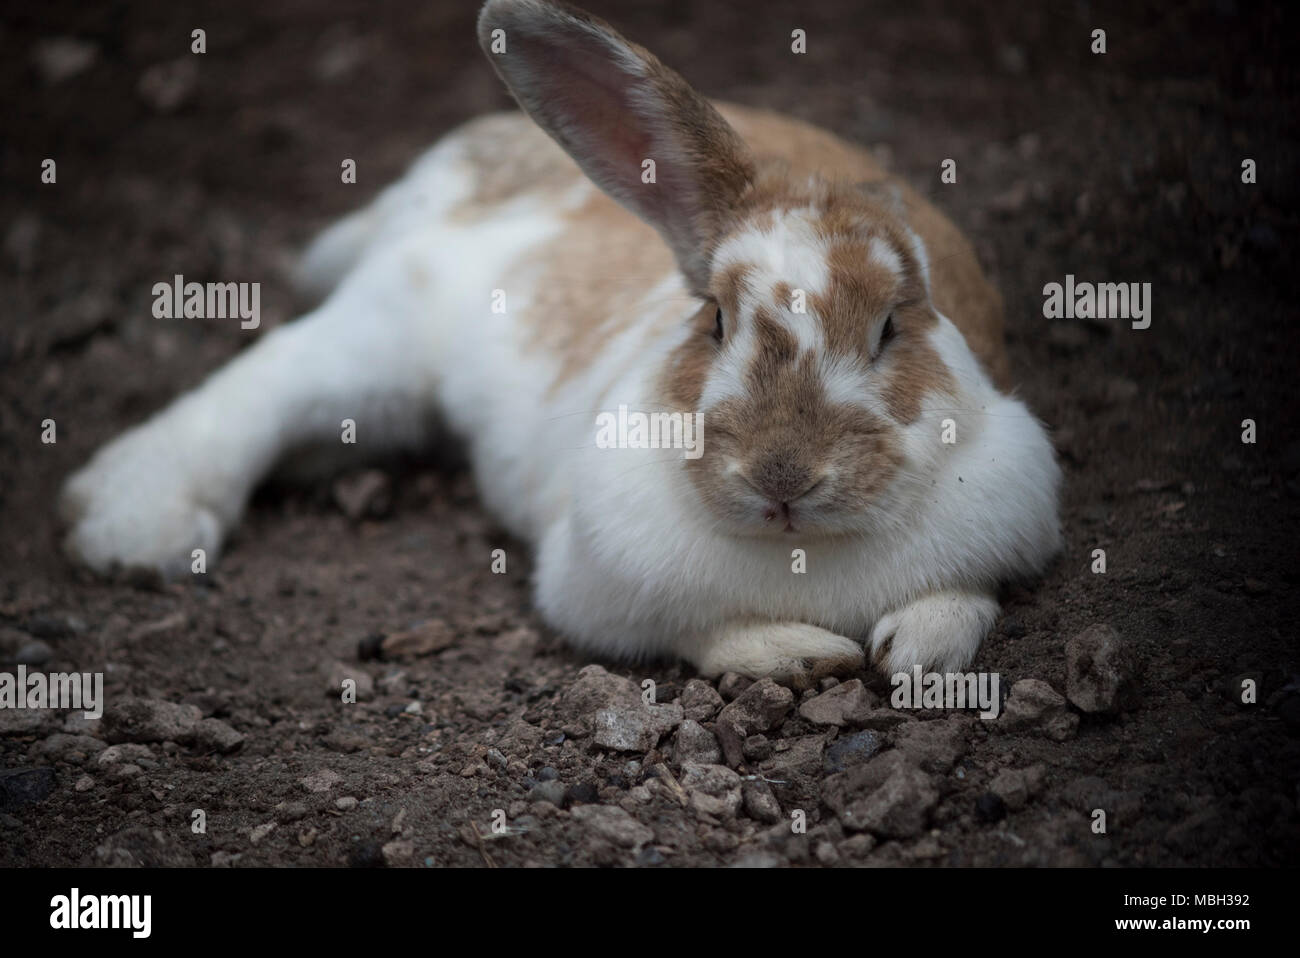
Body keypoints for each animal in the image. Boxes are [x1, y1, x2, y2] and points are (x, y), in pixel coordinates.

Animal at [59, 0, 1062, 687]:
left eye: (893, 324)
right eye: (715, 319)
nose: (782, 480)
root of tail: (457, 170)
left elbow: (957, 603)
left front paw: (911, 655)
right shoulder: (597, 585)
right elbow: (707, 632)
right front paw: (805, 653)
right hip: (381, 334)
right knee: (267, 382)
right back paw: (132, 527)